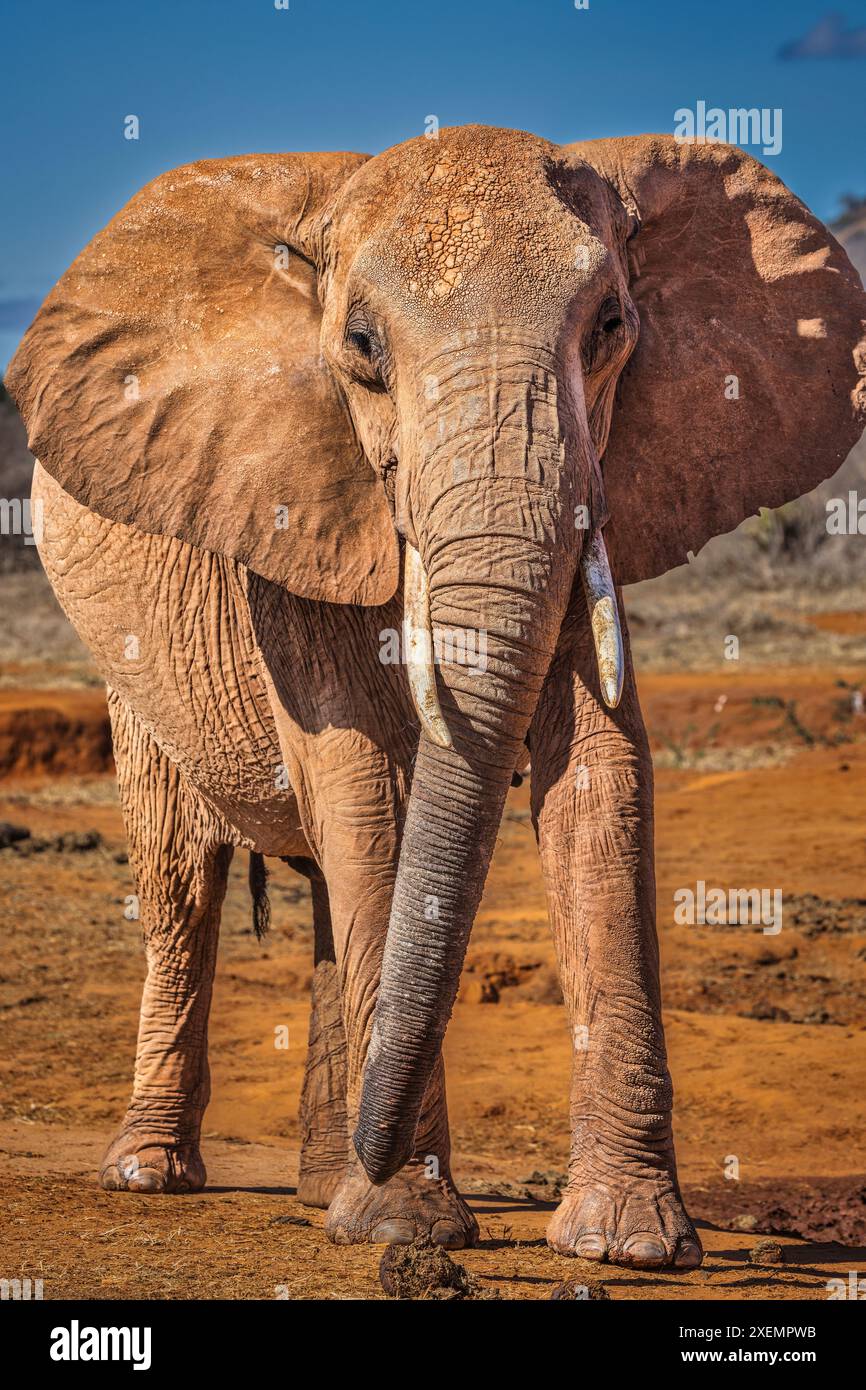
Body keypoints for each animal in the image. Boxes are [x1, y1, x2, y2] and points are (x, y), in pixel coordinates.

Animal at [7, 124, 866, 1270]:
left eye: (610, 328)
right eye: (362, 344)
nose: (382, 1163)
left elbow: (601, 777)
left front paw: (626, 1244)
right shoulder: (291, 506)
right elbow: (365, 778)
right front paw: (404, 1224)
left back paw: (322, 1183)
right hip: (125, 667)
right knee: (181, 874)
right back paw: (158, 1173)